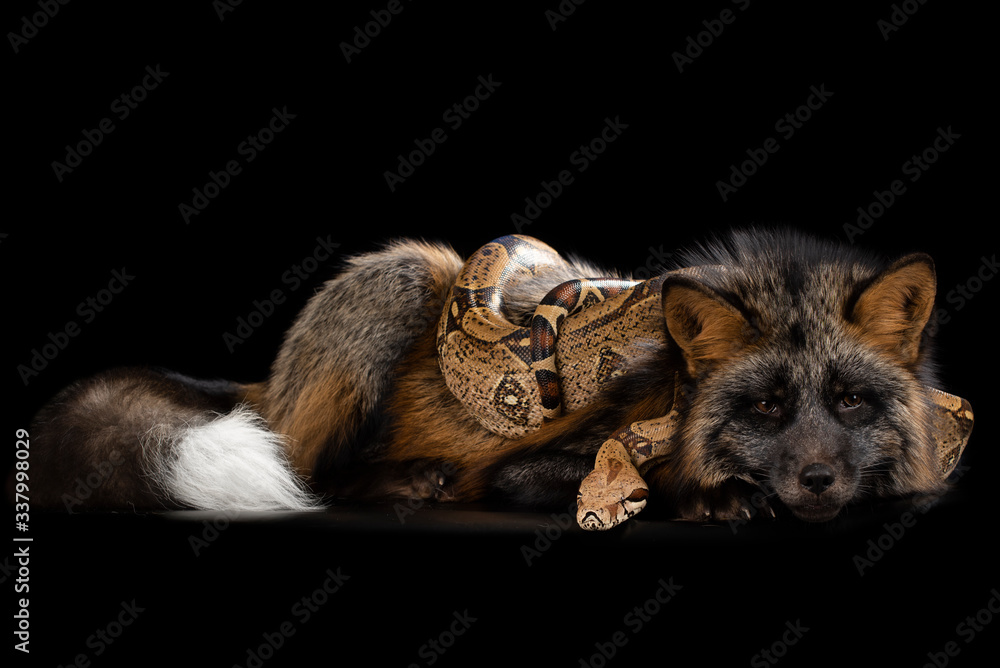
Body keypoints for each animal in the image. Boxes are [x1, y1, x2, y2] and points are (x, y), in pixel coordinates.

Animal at [27, 227, 968, 523]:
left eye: (851, 401)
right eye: (766, 406)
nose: (816, 481)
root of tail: (269, 380)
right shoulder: (531, 466)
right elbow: (652, 480)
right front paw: (716, 495)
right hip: (403, 276)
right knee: (311, 470)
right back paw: (410, 480)